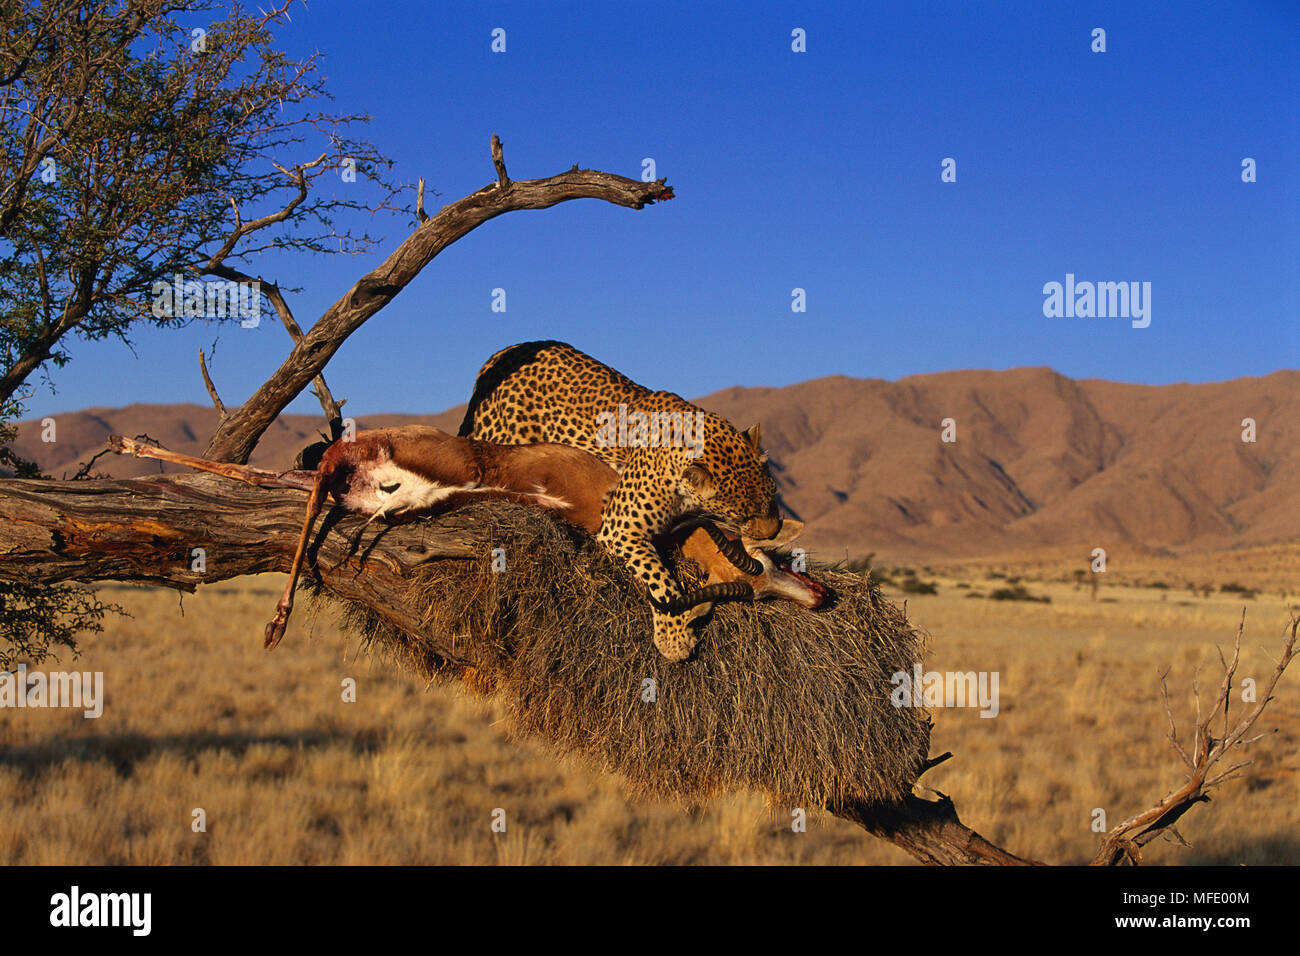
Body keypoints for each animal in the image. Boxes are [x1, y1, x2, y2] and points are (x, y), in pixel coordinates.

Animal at [458, 340, 802, 660]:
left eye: (773, 493)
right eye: (741, 514)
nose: (774, 531)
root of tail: (510, 348)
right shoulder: (621, 528)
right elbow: (659, 577)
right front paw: (674, 639)